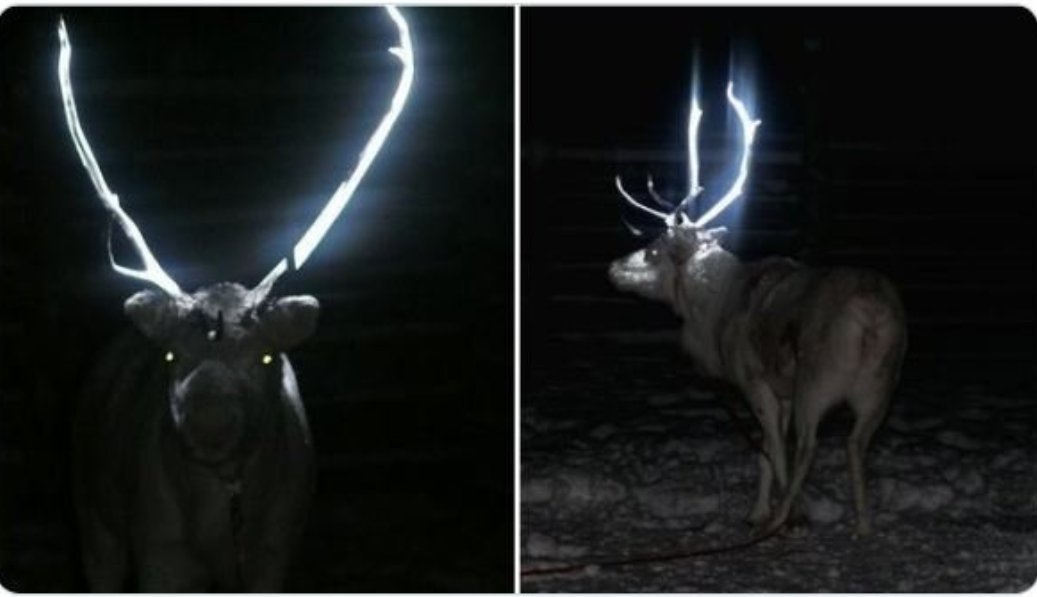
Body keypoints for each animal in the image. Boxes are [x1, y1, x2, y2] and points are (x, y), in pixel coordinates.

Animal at [58, 7, 414, 591]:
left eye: (266, 356)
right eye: (172, 355)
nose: (208, 422)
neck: (223, 519)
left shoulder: (275, 550)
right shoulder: (159, 549)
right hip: (93, 515)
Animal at [608, 82, 907, 537]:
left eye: (654, 251)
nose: (612, 268)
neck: (715, 316)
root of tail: (871, 317)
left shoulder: (755, 380)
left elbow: (773, 449)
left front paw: (783, 514)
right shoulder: (777, 391)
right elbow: (765, 449)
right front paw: (756, 511)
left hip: (816, 379)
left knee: (808, 446)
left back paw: (789, 516)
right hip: (880, 387)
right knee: (855, 444)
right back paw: (863, 525)